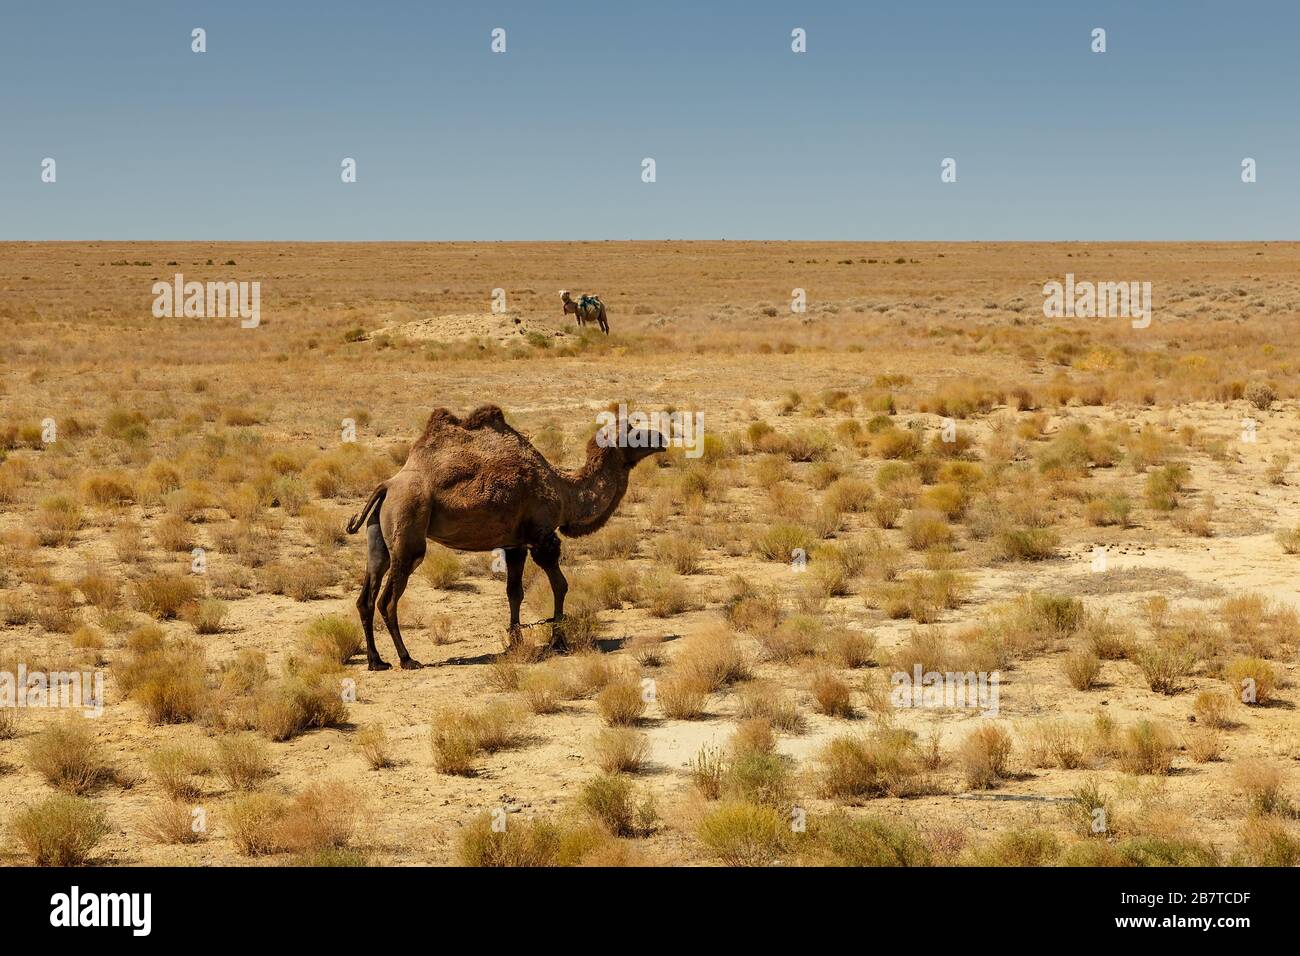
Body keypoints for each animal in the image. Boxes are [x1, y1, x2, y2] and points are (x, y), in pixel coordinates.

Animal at [345, 404, 666, 670]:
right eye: (636, 433)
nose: (662, 437)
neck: (565, 492)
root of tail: (387, 485)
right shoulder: (542, 537)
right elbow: (560, 585)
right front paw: (558, 642)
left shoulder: (515, 544)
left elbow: (514, 592)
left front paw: (516, 643)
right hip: (408, 527)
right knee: (388, 599)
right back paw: (407, 659)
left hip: (379, 535)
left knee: (366, 597)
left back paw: (376, 661)